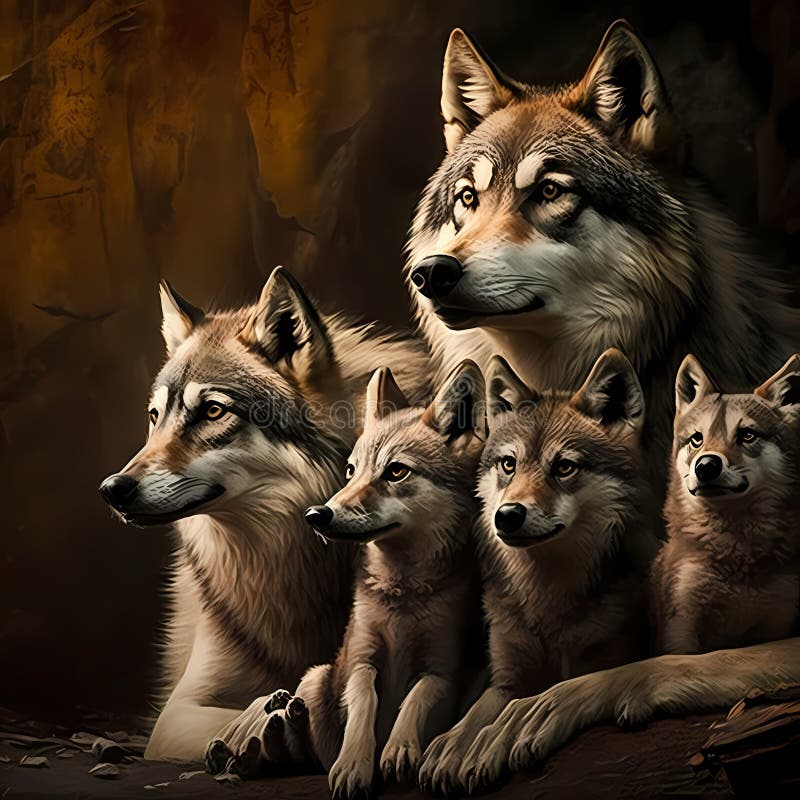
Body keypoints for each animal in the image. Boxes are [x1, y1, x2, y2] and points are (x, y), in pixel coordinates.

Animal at [288, 360, 486, 798]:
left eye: (396, 471)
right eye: (350, 471)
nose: (316, 515)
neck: (402, 592)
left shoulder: (443, 670)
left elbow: (415, 698)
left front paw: (399, 749)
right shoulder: (362, 658)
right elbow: (365, 701)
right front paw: (353, 765)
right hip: (314, 678)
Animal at [417, 348, 659, 794]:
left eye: (564, 467)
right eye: (509, 464)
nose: (508, 515)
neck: (547, 600)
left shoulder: (603, 661)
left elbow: (544, 699)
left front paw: (493, 743)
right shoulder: (505, 678)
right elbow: (479, 712)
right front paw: (455, 744)